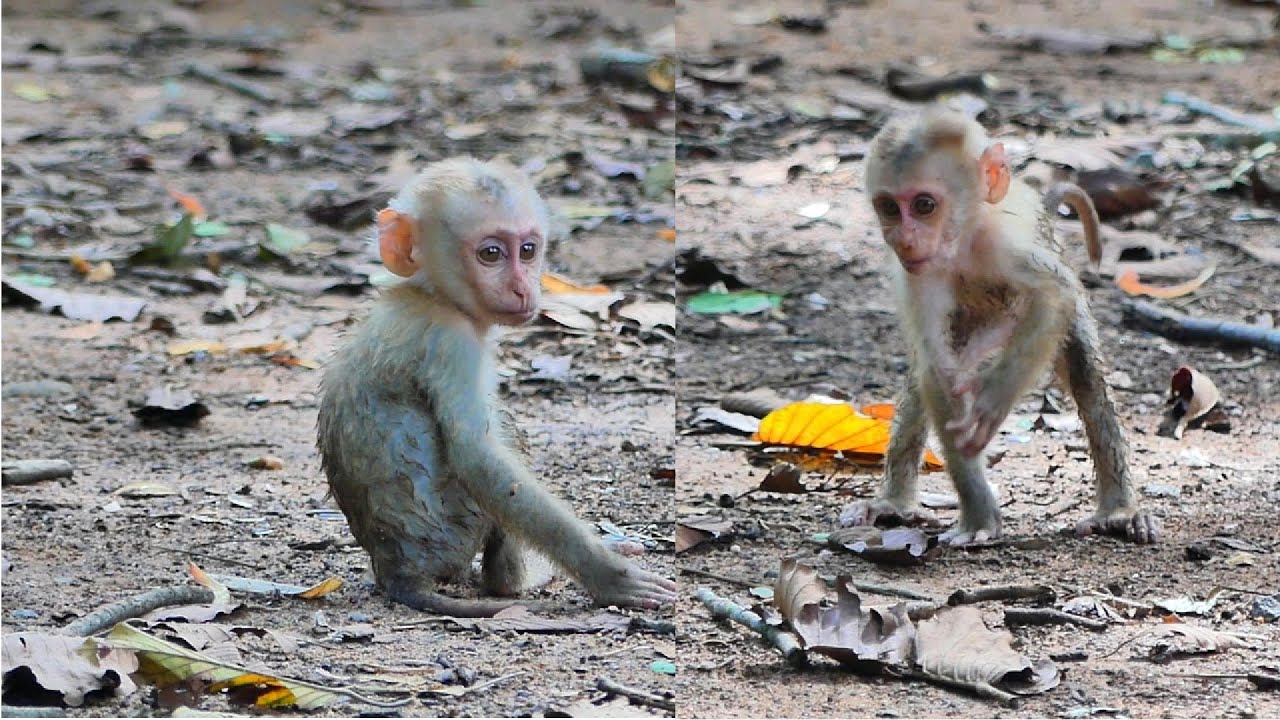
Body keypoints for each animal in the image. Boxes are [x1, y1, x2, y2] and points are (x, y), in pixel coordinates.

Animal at [317, 157, 678, 616]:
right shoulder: (453, 341)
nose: (523, 288)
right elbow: (480, 459)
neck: (430, 295)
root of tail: (396, 570)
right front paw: (609, 575)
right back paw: (516, 582)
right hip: (457, 530)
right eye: (491, 253)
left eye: (528, 250)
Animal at [839, 108, 1158, 546]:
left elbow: (1053, 294)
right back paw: (893, 504)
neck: (961, 243)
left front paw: (991, 403)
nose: (903, 238)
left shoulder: (1005, 244)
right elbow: (938, 373)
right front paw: (979, 515)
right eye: (889, 207)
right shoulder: (918, 274)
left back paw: (1119, 510)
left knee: (1085, 377)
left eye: (924, 205)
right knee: (927, 380)